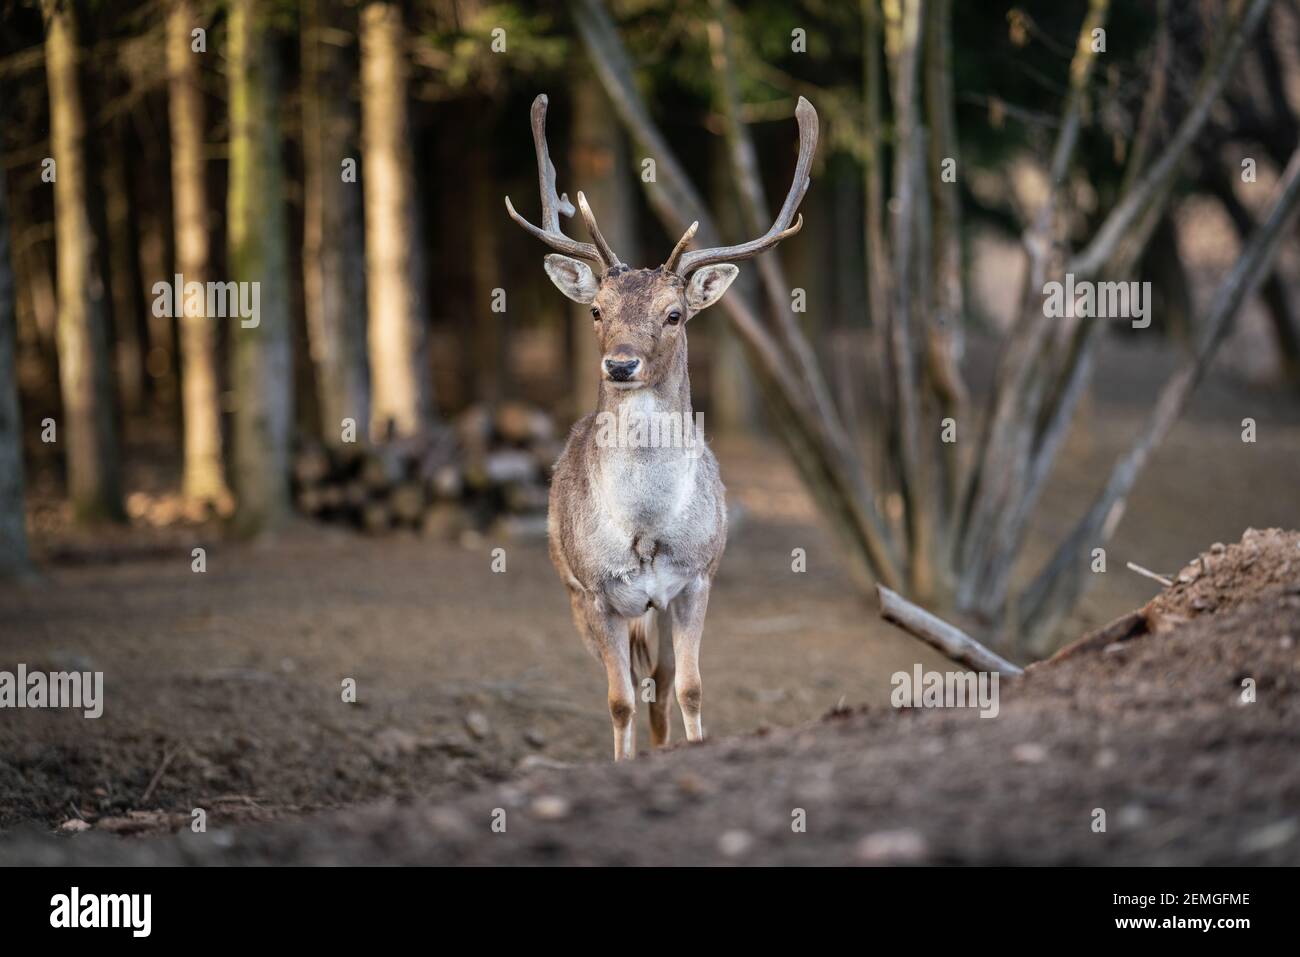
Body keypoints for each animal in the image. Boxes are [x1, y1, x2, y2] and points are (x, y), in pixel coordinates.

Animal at [505, 93, 818, 760]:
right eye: (597, 311)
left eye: (674, 314)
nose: (621, 364)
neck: (646, 528)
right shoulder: (596, 593)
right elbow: (618, 700)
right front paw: (624, 762)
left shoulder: (697, 578)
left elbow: (692, 688)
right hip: (581, 595)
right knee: (636, 687)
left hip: (659, 608)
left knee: (663, 685)